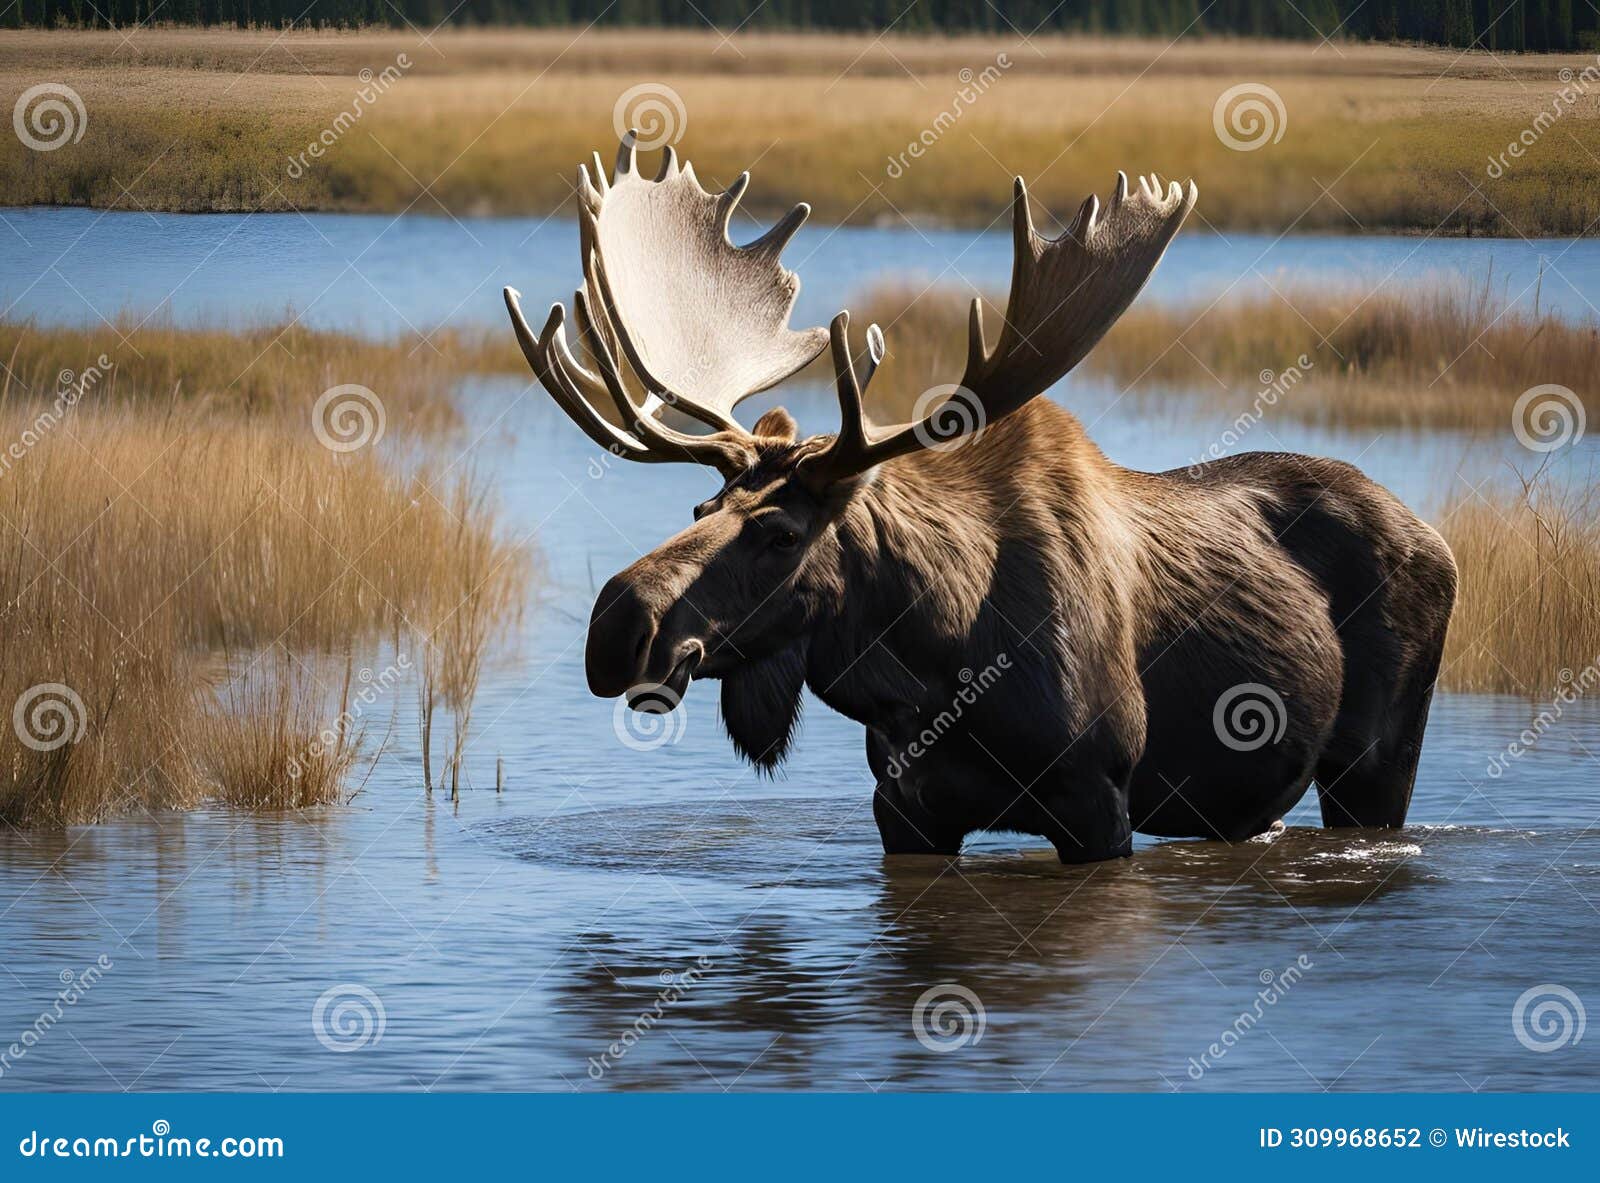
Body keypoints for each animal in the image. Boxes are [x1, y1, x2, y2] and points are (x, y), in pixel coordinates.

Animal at [503, 133, 1457, 864]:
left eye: (778, 532)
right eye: (701, 513)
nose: (615, 627)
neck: (929, 668)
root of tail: (1437, 538)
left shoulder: (1099, 801)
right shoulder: (906, 812)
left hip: (1378, 759)